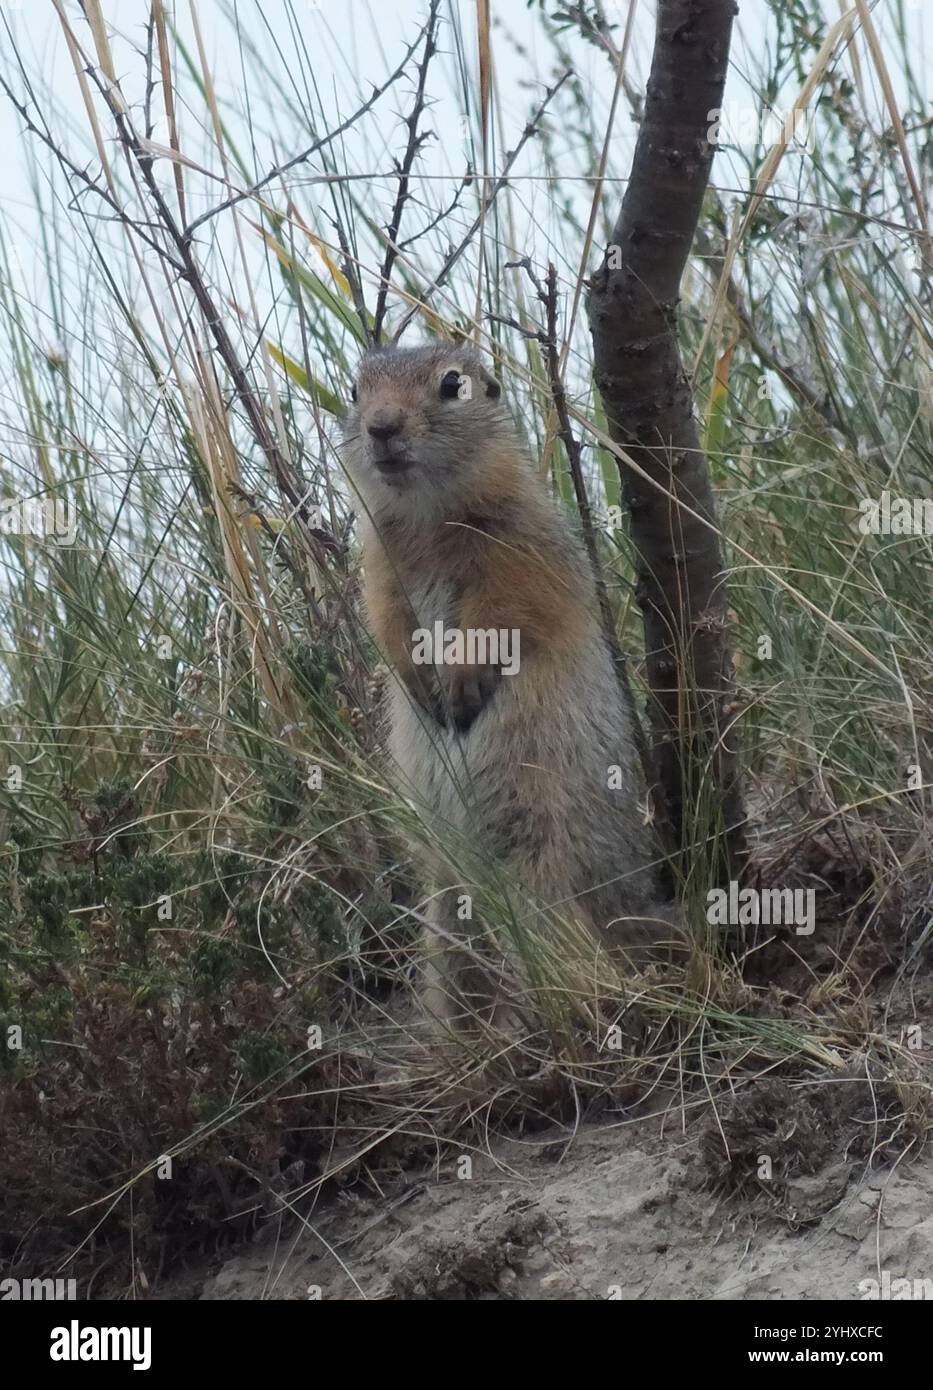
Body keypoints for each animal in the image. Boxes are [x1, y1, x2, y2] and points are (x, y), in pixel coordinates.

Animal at [341, 344, 681, 1028]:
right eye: (355, 390)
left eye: (453, 385)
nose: (381, 427)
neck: (428, 518)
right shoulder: (379, 564)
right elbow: (385, 617)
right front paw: (420, 681)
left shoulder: (520, 545)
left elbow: (508, 609)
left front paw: (462, 684)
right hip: (444, 906)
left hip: (543, 854)